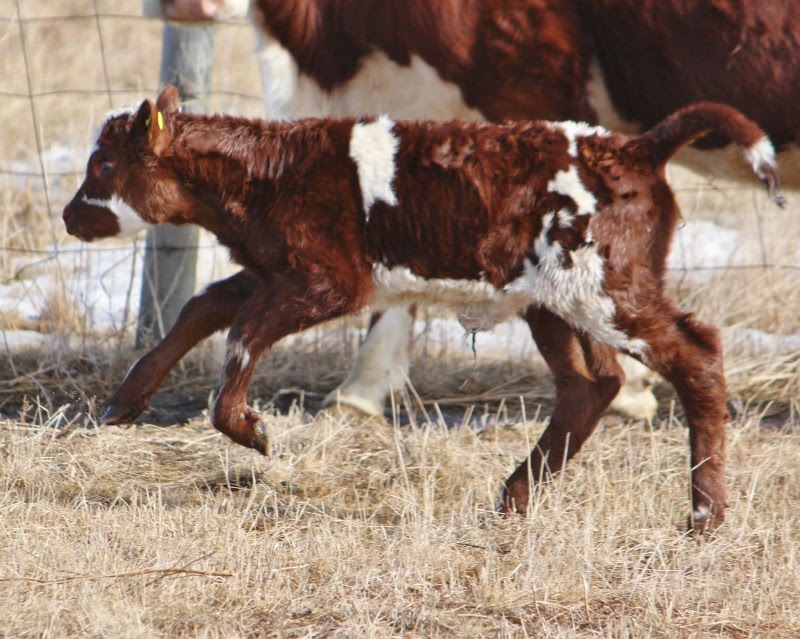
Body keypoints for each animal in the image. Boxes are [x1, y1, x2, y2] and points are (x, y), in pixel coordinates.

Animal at [62, 85, 784, 530]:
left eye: (103, 166)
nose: (69, 216)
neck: (268, 173)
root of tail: (636, 147)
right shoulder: (272, 266)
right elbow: (202, 307)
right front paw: (125, 401)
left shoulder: (329, 280)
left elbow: (240, 335)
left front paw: (252, 430)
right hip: (556, 300)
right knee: (591, 382)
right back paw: (514, 499)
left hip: (610, 289)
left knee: (696, 354)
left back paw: (704, 518)